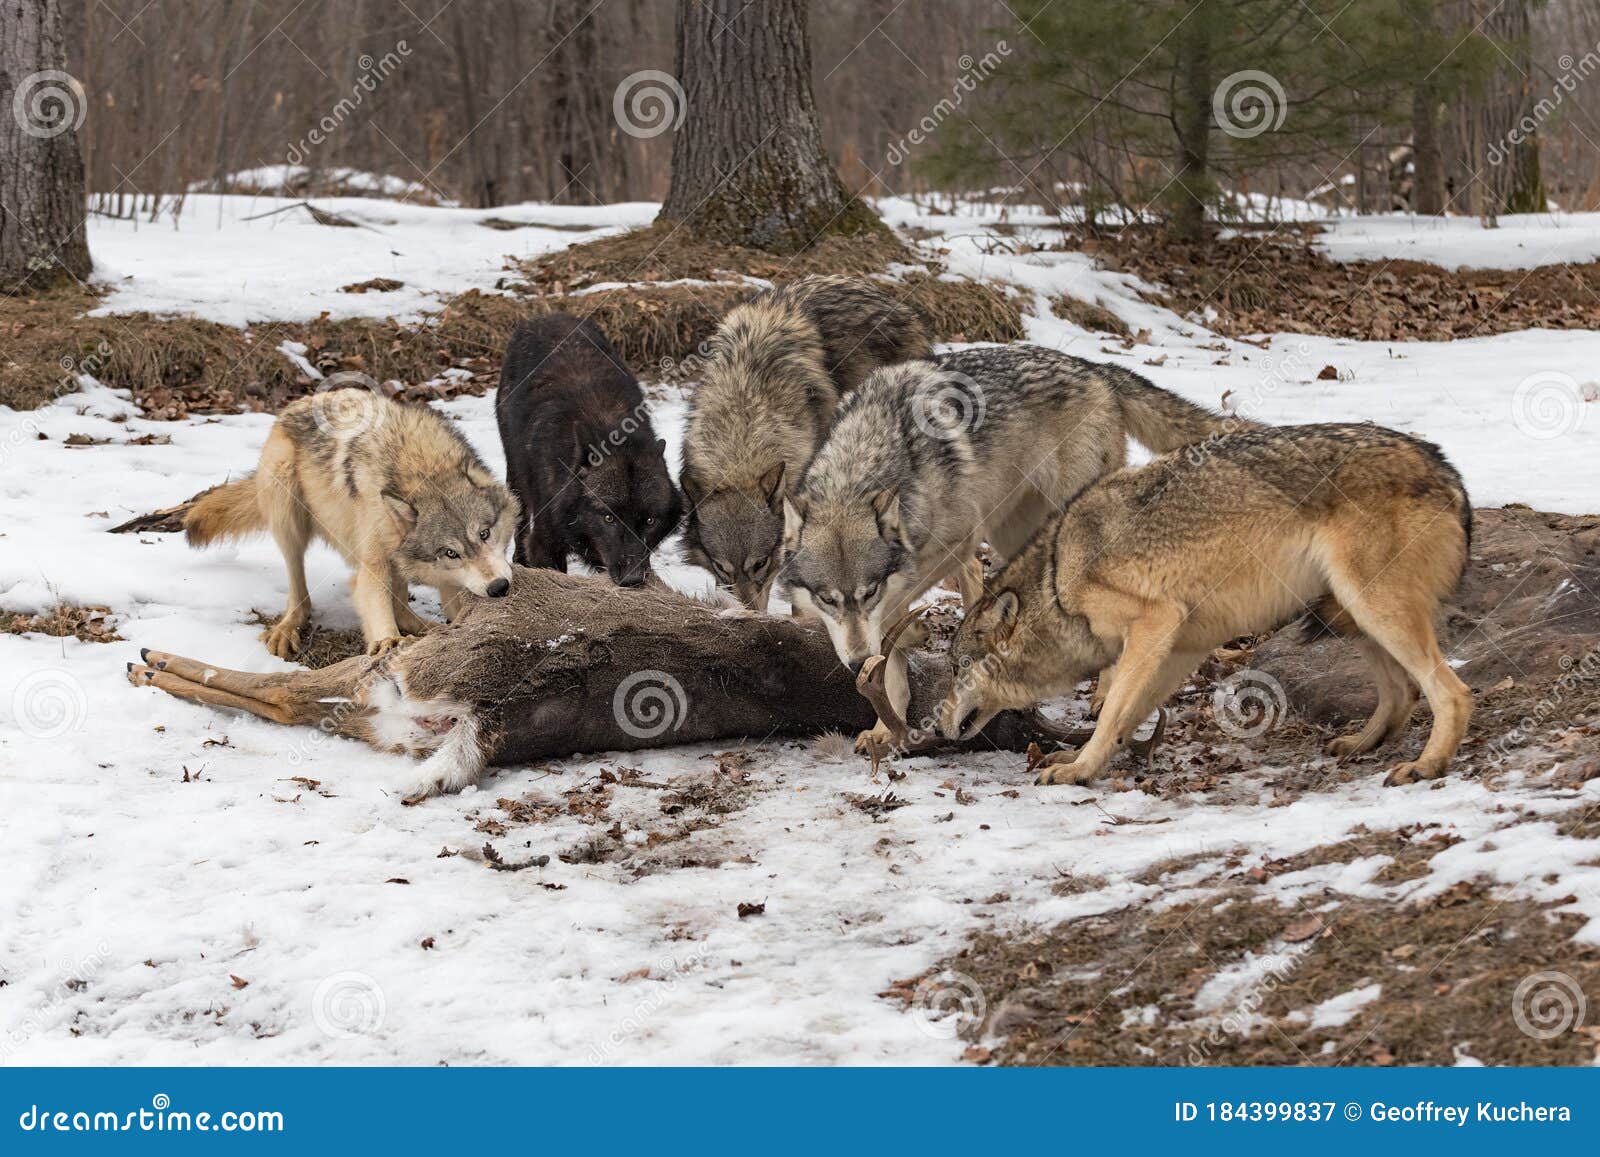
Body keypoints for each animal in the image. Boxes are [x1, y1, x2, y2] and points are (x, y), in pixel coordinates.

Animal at [184, 389, 519, 659]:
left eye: (485, 533)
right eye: (451, 552)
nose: (499, 587)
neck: (421, 466)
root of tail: (297, 403)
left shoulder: (446, 579)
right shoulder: (372, 566)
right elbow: (377, 604)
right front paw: (387, 642)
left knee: (401, 605)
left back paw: (428, 630)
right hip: (286, 502)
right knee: (298, 585)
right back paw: (287, 628)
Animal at [496, 313, 680, 586]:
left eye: (649, 520)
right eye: (608, 518)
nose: (633, 579)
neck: (608, 426)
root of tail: (547, 316)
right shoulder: (545, 544)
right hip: (517, 475)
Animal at [779, 344, 1241, 750]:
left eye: (867, 592)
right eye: (827, 599)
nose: (857, 662)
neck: (863, 462)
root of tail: (1095, 368)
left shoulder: (956, 541)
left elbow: (893, 617)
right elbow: (889, 650)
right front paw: (881, 726)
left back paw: (1105, 693)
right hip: (1013, 533)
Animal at [939, 423, 1475, 787]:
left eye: (957, 667)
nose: (938, 723)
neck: (1056, 578)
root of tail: (1445, 466)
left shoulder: (1154, 622)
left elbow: (1112, 709)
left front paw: (1079, 770)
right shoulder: (1181, 647)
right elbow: (1128, 713)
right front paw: (1083, 760)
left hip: (1371, 607)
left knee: (1452, 692)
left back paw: (1426, 765)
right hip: (1351, 611)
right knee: (1402, 693)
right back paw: (1361, 744)